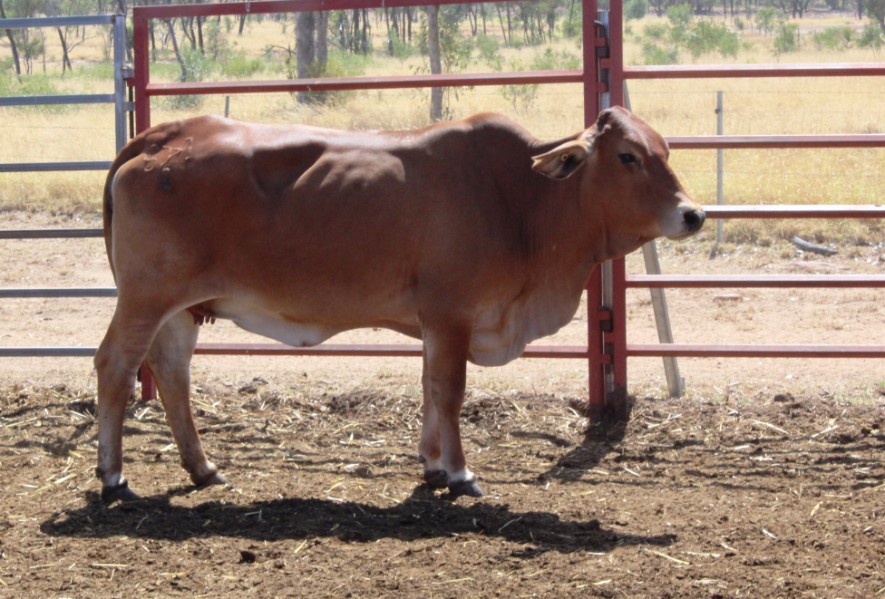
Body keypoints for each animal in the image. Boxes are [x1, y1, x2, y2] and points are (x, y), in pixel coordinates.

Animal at [94, 106, 705, 503]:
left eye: (666, 151)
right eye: (627, 156)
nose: (693, 213)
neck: (521, 198)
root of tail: (159, 137)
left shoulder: (434, 323)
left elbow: (430, 387)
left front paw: (432, 466)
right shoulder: (452, 315)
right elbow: (451, 391)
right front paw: (459, 474)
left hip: (180, 309)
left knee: (172, 374)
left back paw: (202, 469)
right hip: (146, 298)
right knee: (115, 366)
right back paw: (113, 475)